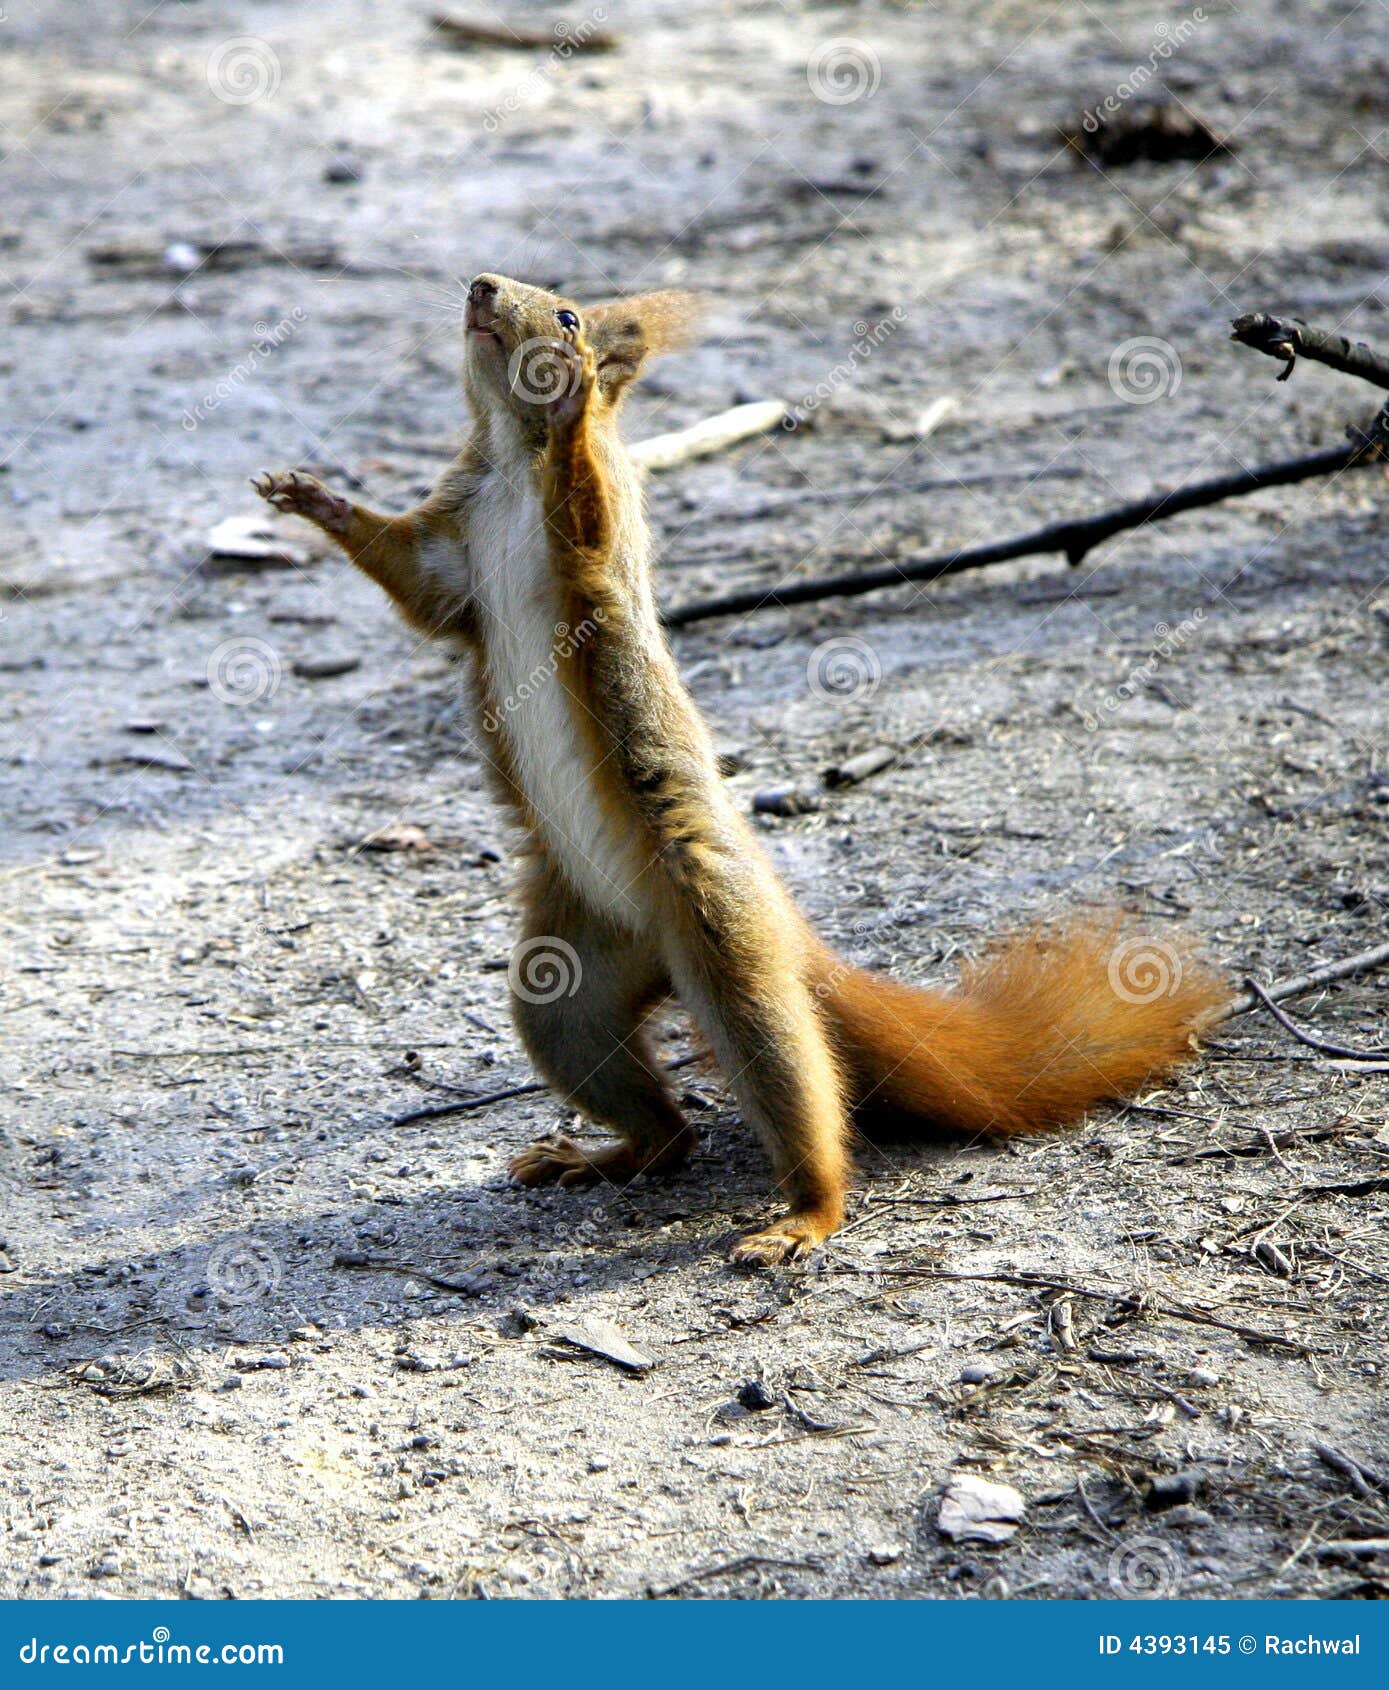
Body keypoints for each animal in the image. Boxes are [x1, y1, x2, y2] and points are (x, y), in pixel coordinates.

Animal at [254, 272, 1227, 1265]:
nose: (482, 287)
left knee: (796, 1091)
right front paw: (311, 497)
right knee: (658, 1121)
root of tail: (772, 931)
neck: (510, 464)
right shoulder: (451, 550)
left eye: (566, 314)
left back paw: (806, 1215)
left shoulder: (598, 539)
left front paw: (571, 410)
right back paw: (602, 1156)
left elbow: (582, 508)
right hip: (572, 983)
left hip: (722, 948)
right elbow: (415, 584)